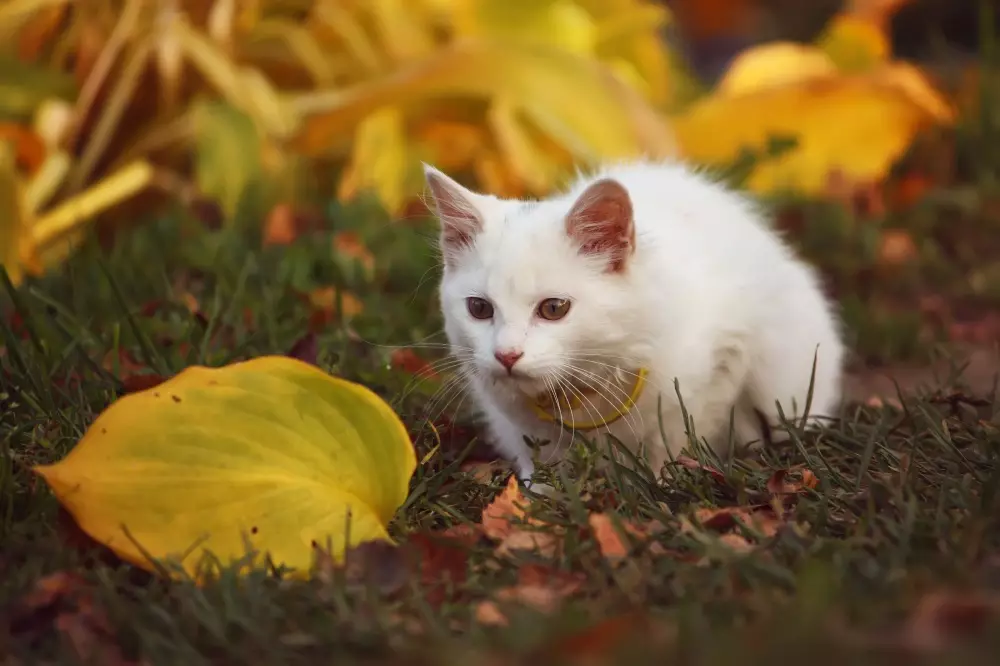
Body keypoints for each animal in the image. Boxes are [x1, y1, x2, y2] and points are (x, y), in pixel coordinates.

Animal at [422, 159, 844, 486]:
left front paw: (661, 485)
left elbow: (676, 437)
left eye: (554, 308)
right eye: (479, 308)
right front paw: (540, 498)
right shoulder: (520, 421)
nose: (507, 355)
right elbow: (542, 458)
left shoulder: (723, 362)